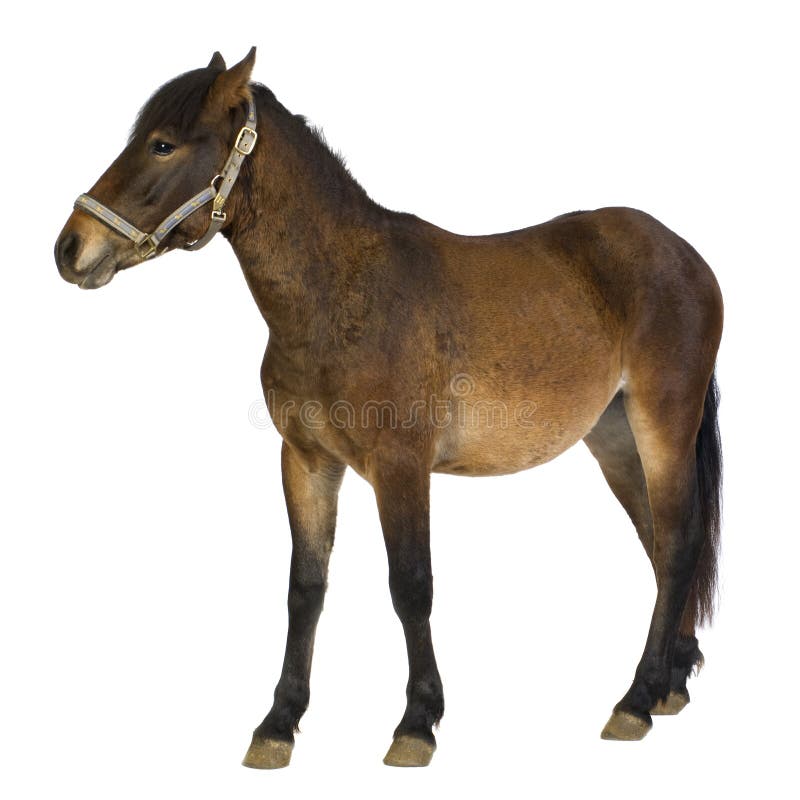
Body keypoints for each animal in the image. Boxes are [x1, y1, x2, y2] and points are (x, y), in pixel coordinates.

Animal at [55, 48, 723, 768]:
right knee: (659, 546)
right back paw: (669, 683)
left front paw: (417, 722)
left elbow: (411, 585)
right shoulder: (306, 462)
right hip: (615, 440)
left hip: (663, 426)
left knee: (678, 544)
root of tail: (682, 253)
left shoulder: (400, 467)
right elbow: (305, 589)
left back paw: (636, 700)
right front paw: (278, 724)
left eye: (162, 144)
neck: (339, 293)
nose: (70, 248)